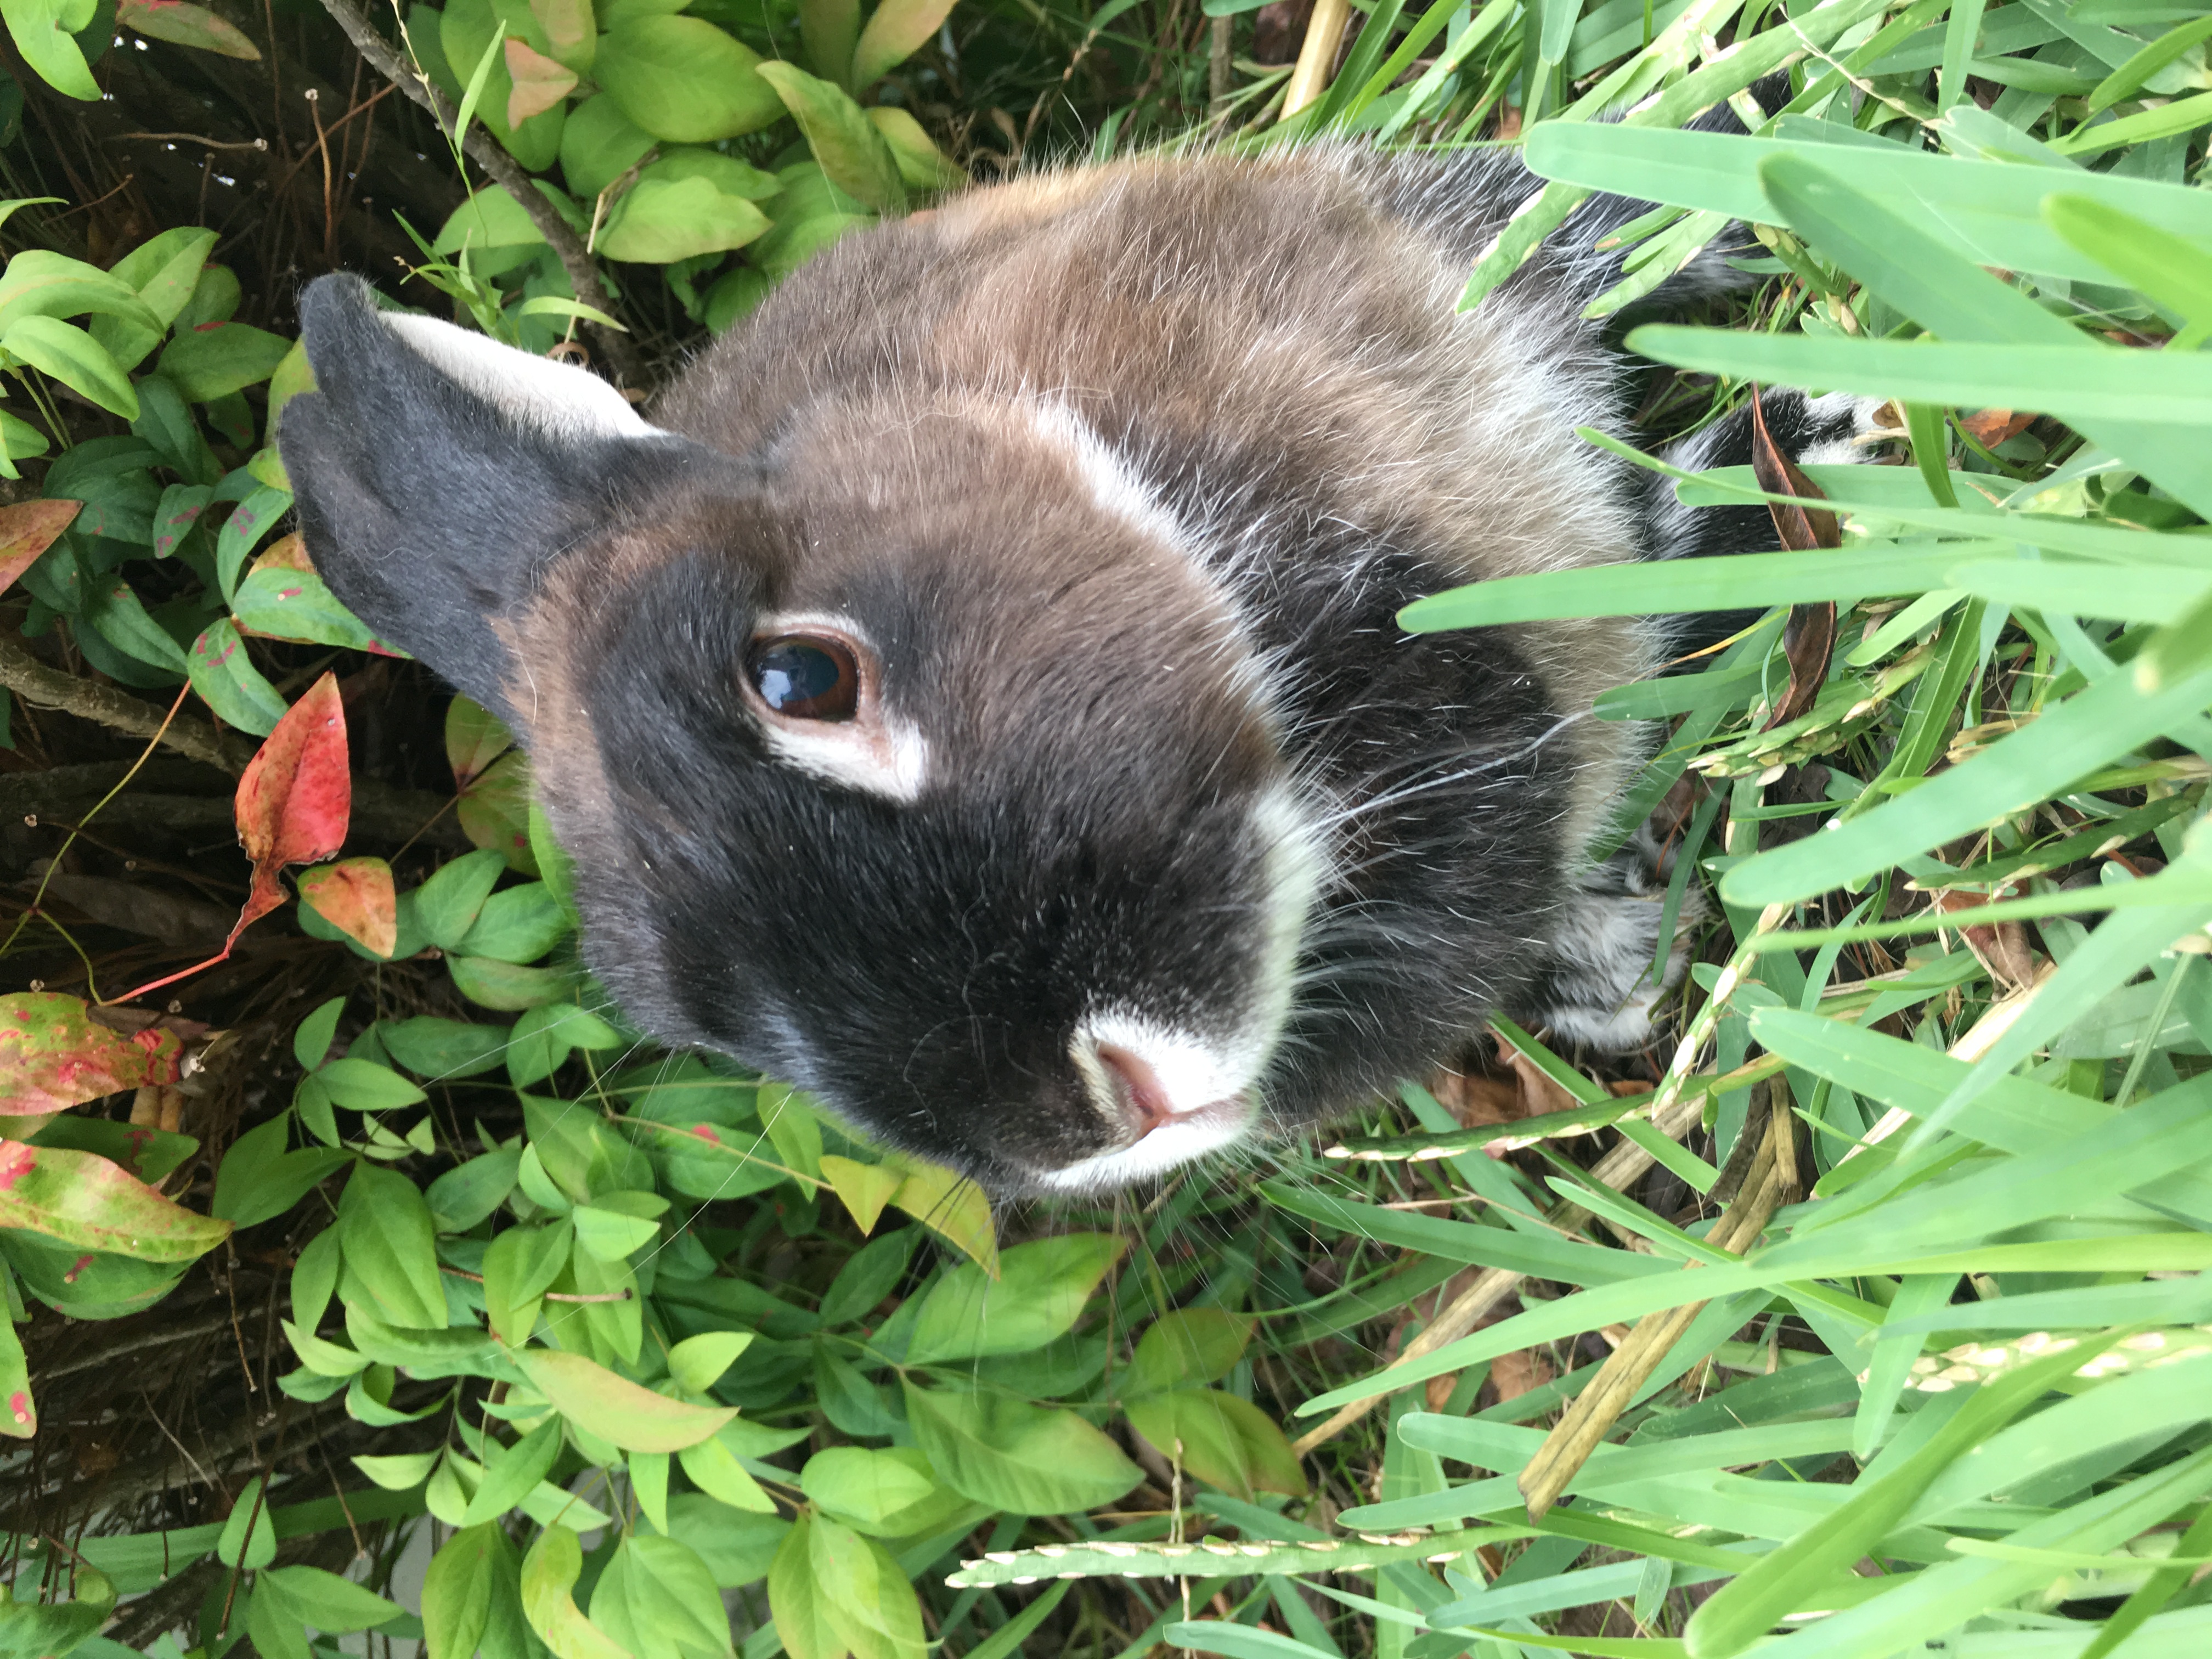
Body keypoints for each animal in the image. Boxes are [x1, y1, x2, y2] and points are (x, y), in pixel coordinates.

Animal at [279, 140, 1877, 1196]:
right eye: (707, 1024)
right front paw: (1609, 970)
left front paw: (1796, 455)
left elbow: (1654, 565)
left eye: (800, 680)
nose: (1106, 1119)